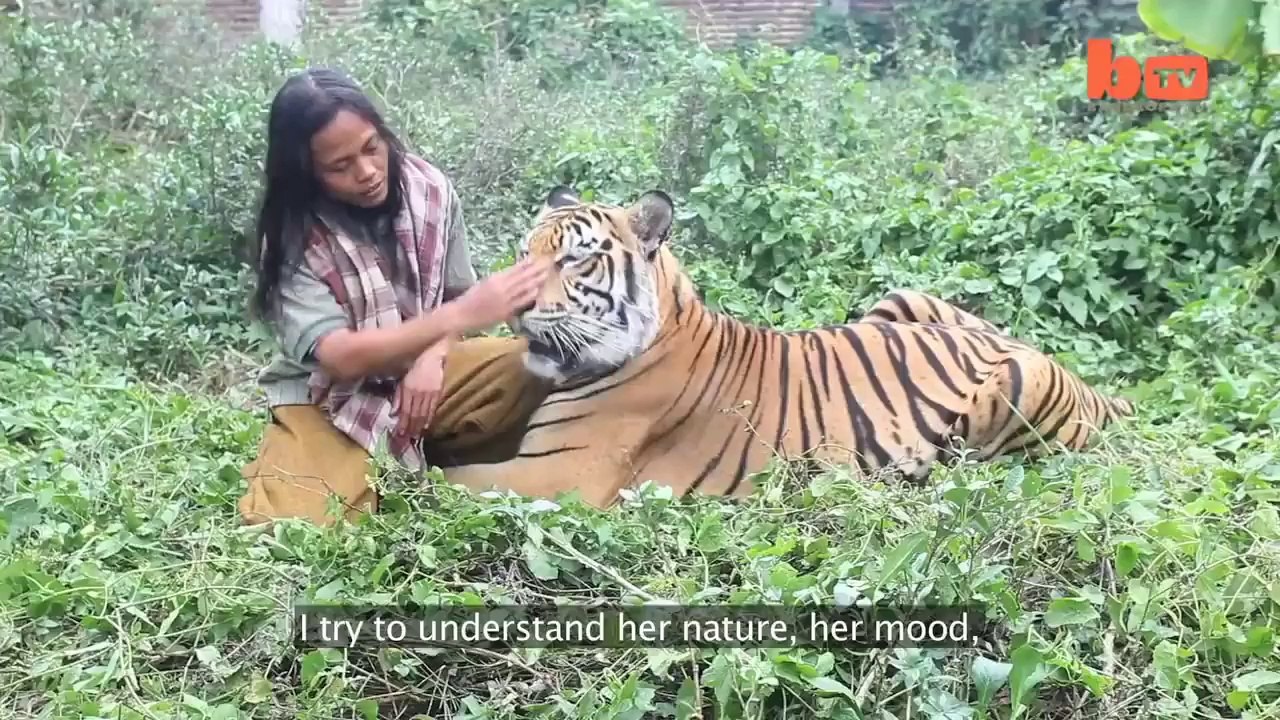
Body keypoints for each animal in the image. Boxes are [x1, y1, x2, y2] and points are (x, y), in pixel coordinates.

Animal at [439, 186, 1136, 509]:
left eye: (575, 259)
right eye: (525, 251)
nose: (511, 305)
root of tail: (1089, 386)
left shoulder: (555, 477)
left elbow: (447, 480)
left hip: (1014, 387)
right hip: (904, 299)